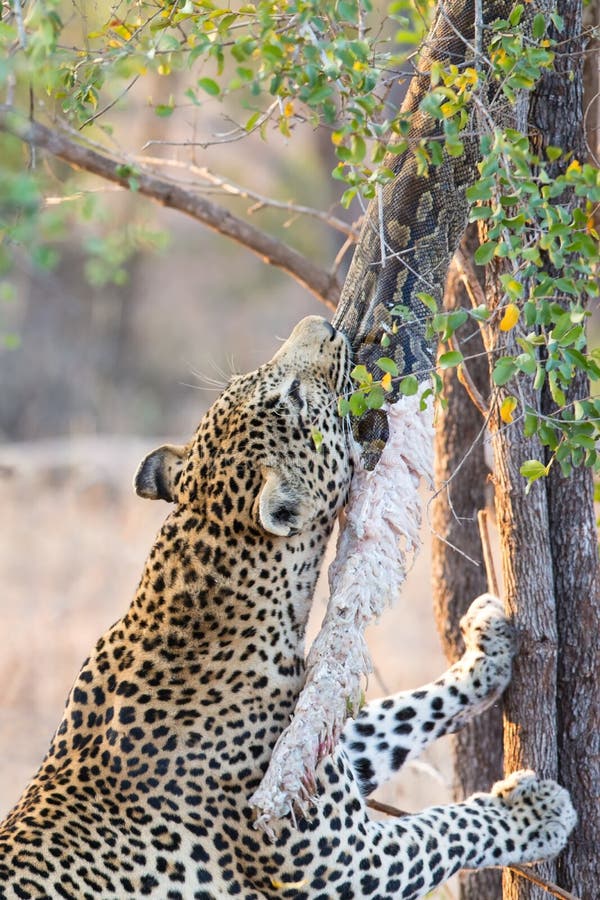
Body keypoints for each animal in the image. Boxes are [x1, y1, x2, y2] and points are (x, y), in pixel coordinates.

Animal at [0, 316, 576, 899]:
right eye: (291, 396)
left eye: (247, 381)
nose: (318, 323)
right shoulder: (343, 864)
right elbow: (442, 832)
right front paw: (532, 813)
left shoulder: (306, 753)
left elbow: (399, 713)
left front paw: (486, 651)